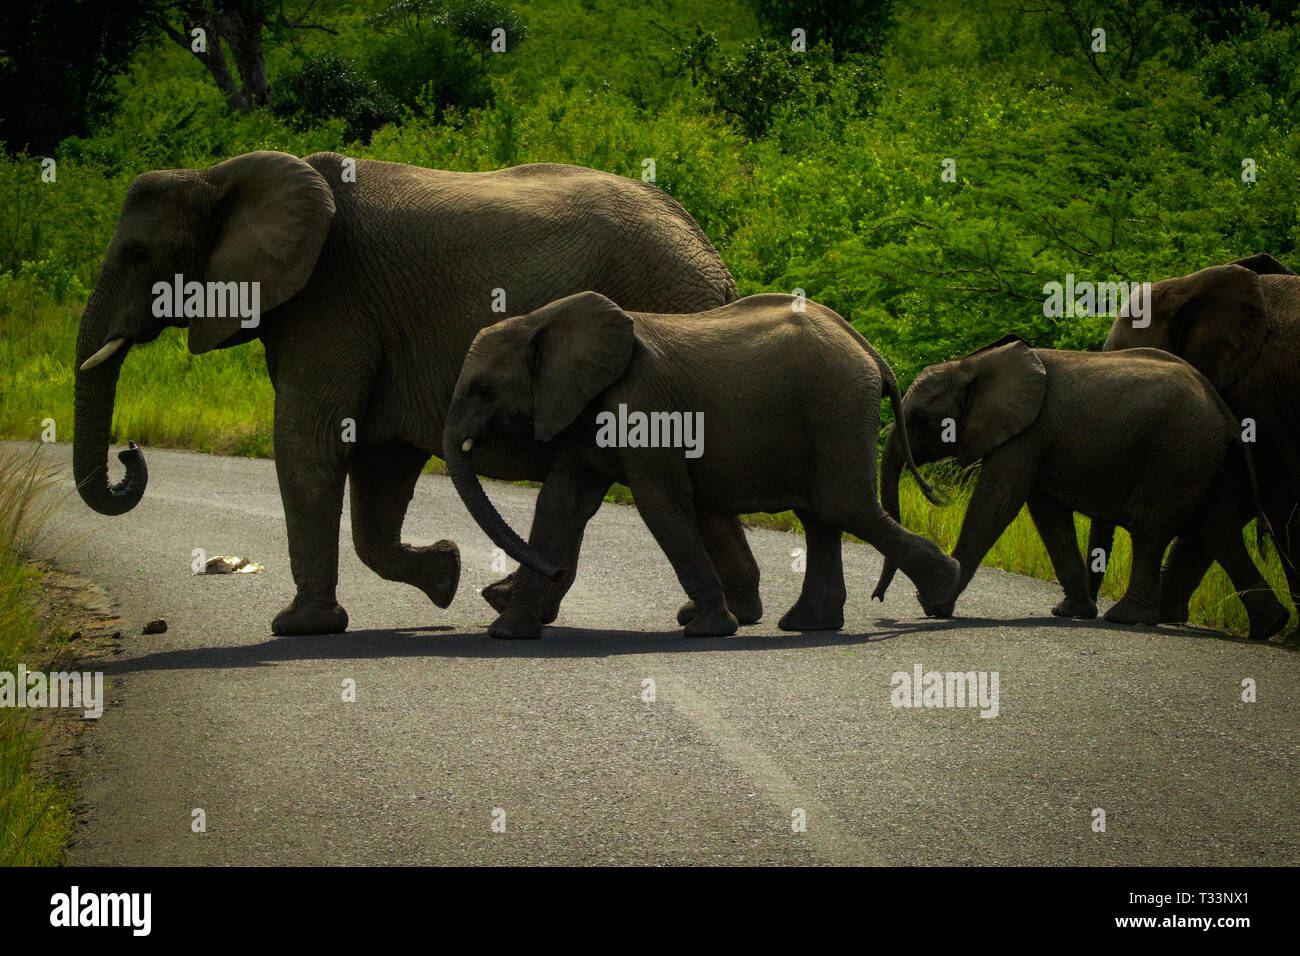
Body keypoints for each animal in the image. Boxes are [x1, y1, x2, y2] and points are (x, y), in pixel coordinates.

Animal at [72, 149, 764, 635]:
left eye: (139, 255)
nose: (130, 450)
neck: (218, 173)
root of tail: (710, 256)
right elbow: (378, 461)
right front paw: (445, 575)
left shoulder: (331, 300)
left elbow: (311, 437)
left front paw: (298, 628)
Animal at [440, 290, 961, 638]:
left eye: (483, 389)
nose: (554, 573)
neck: (543, 320)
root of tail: (870, 348)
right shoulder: (581, 411)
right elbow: (559, 503)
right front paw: (508, 632)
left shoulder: (642, 404)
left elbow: (659, 502)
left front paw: (707, 628)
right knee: (821, 514)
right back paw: (809, 625)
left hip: (837, 404)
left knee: (842, 506)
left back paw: (942, 597)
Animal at [872, 336, 1289, 641]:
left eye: (918, 419)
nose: (879, 606)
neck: (971, 365)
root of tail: (1223, 409)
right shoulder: (1036, 436)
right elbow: (1047, 515)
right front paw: (1071, 613)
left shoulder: (1029, 430)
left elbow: (999, 503)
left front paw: (936, 606)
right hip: (1202, 453)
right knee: (1218, 530)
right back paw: (1270, 626)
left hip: (1178, 448)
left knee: (1152, 524)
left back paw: (1126, 618)